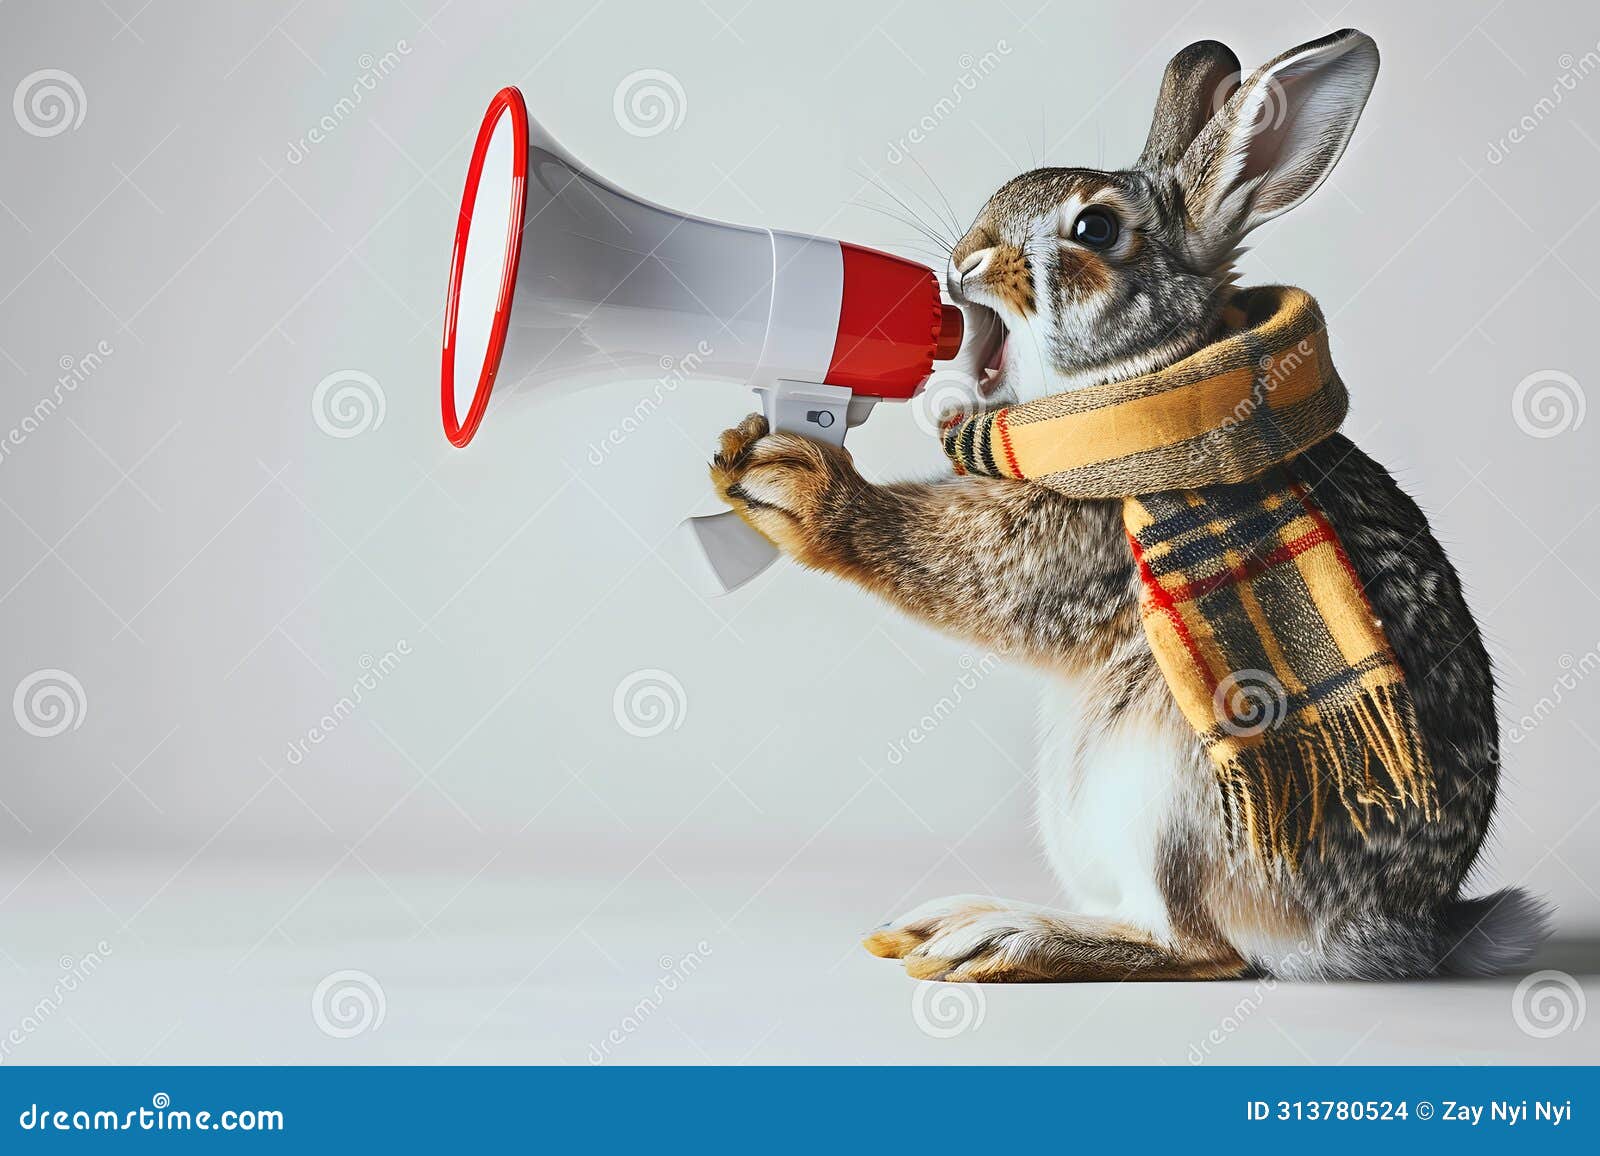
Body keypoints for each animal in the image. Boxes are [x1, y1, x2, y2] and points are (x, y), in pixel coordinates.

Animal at [709, 29, 1549, 981]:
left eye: (1095, 229)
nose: (966, 258)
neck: (1132, 395)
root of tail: (1394, 931)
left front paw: (793, 483)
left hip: (1175, 801)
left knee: (1201, 949)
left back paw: (1000, 939)